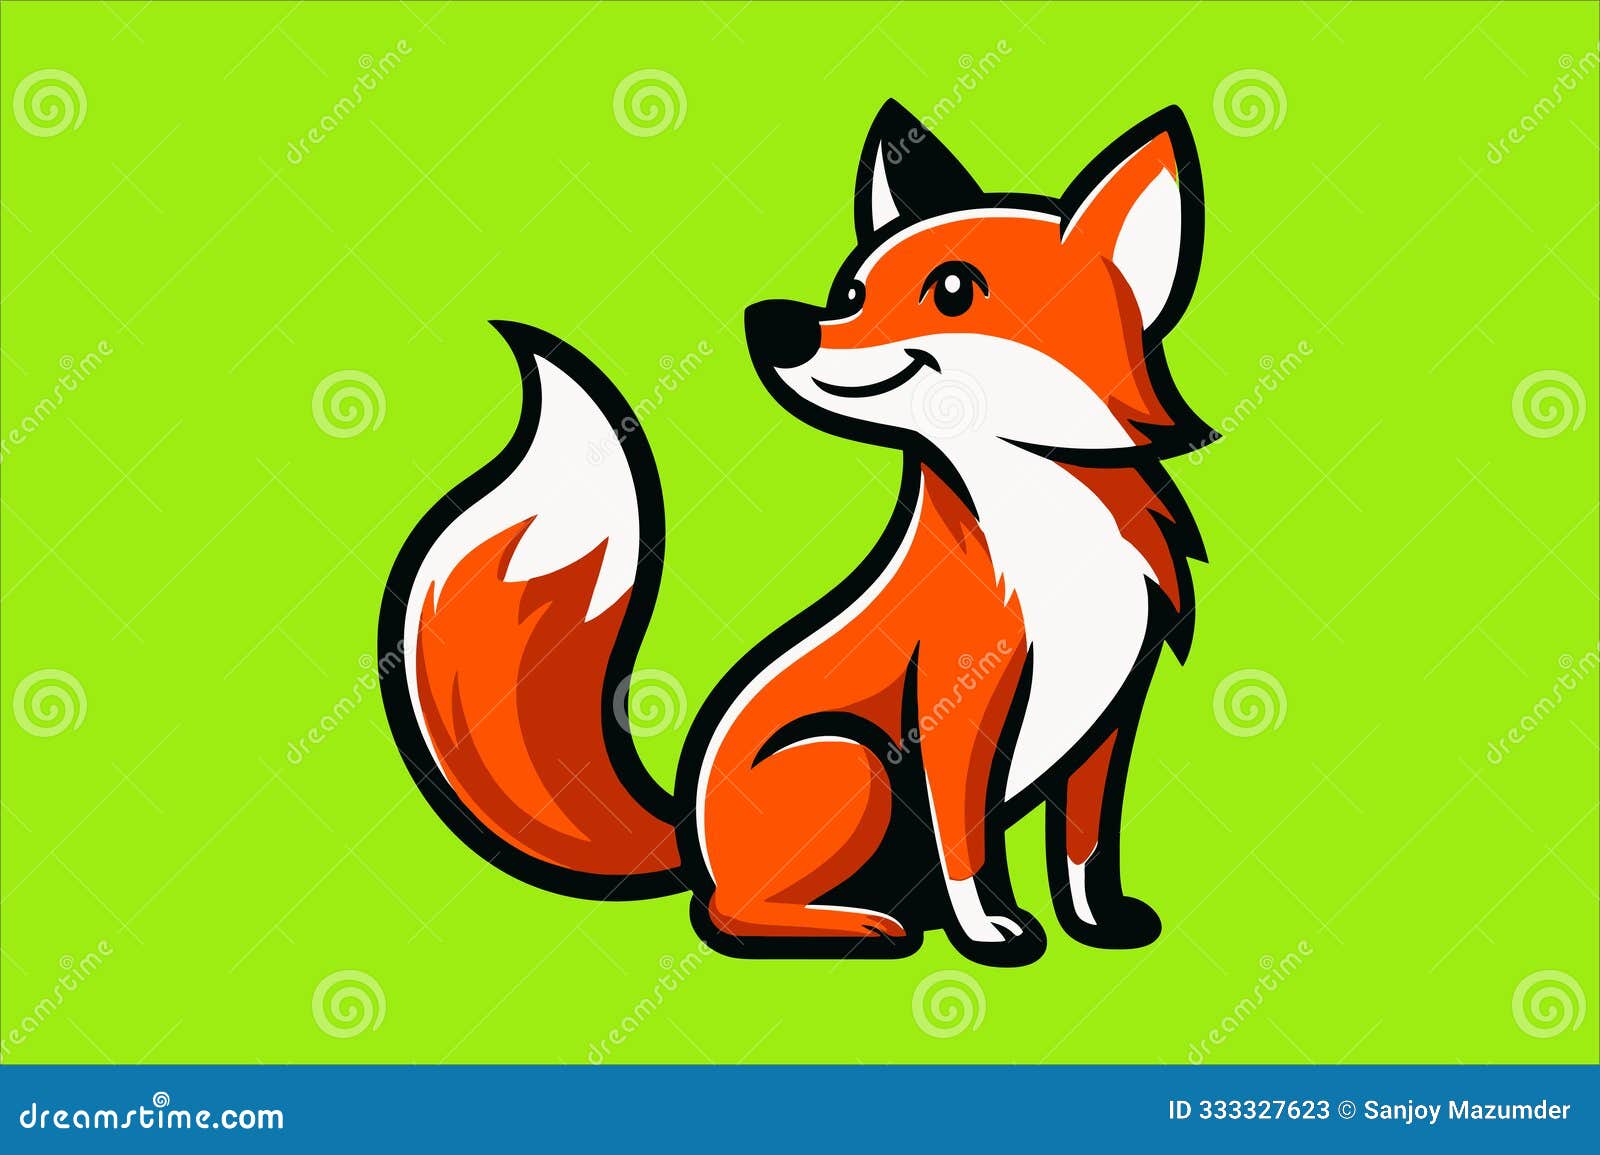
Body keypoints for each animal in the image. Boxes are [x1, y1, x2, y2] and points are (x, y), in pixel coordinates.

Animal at [378, 99, 1213, 967]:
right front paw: (991, 931)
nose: (777, 325)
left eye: (953, 288)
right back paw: (861, 926)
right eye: (850, 289)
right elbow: (969, 849)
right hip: (852, 760)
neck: (1045, 510)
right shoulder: (959, 700)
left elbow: (1084, 846)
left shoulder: (1115, 711)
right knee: (726, 913)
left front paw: (1098, 924)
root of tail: (687, 834)